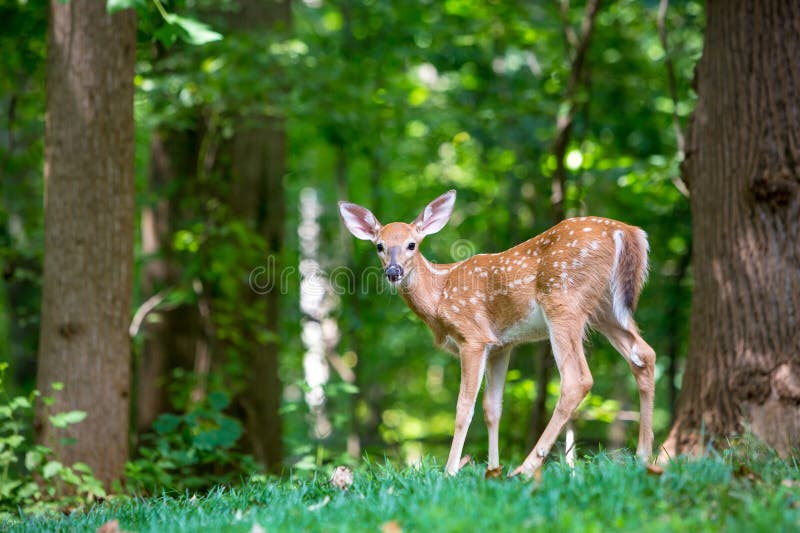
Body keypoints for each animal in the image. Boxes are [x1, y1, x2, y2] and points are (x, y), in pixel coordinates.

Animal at [338, 190, 655, 478]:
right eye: (379, 245)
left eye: (412, 244)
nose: (393, 272)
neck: (439, 295)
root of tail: (627, 232)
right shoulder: (501, 345)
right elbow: (492, 408)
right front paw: (493, 469)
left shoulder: (472, 337)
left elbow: (464, 408)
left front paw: (450, 471)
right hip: (606, 309)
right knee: (644, 355)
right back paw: (644, 457)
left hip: (564, 300)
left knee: (577, 379)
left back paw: (528, 467)